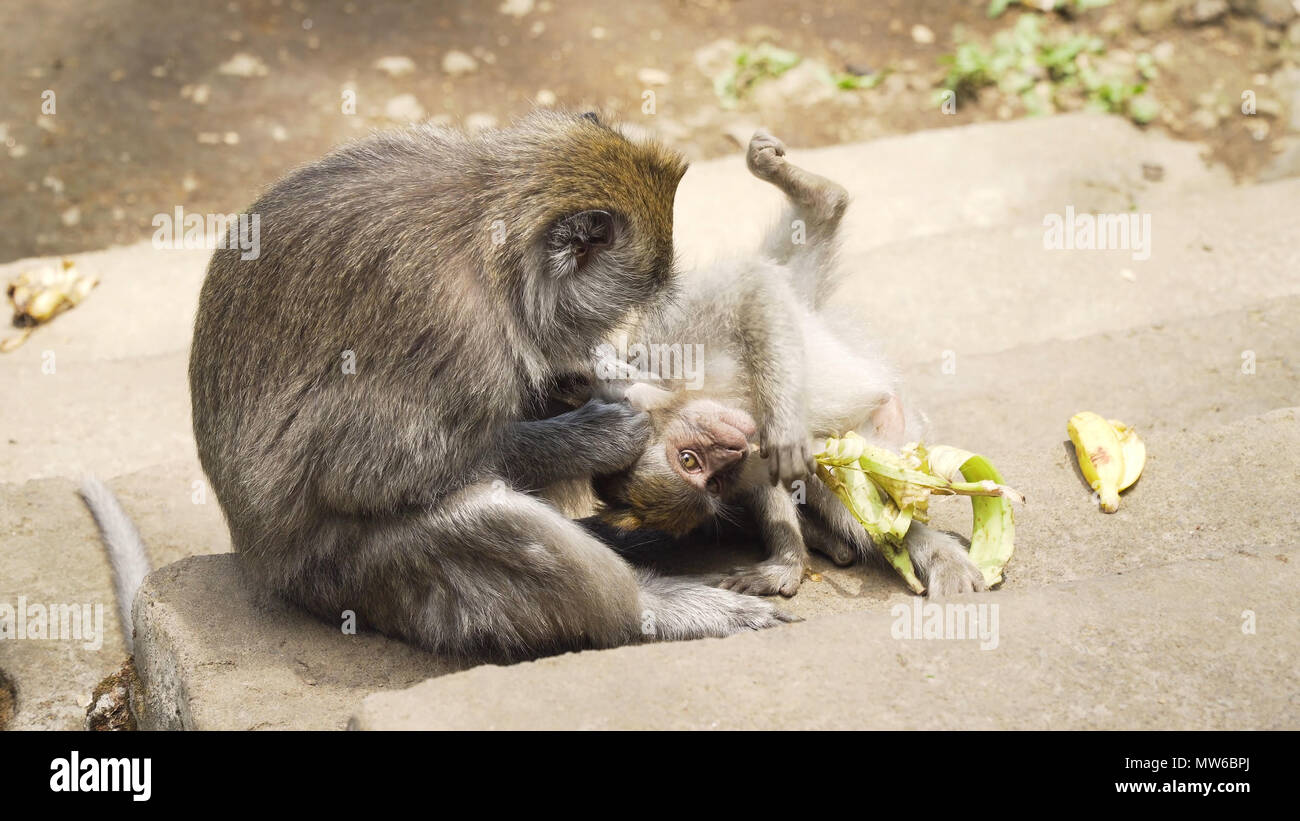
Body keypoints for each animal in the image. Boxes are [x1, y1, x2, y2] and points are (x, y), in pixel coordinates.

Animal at [184, 111, 794, 662]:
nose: (598, 344)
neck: (485, 235)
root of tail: (262, 569)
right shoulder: (452, 325)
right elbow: (363, 476)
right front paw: (598, 438)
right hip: (353, 580)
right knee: (487, 513)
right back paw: (650, 610)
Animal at [582, 130, 988, 600]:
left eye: (688, 460)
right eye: (706, 475)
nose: (730, 451)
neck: (691, 391)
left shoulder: (672, 333)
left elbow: (752, 288)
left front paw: (785, 431)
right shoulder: (743, 459)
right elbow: (770, 482)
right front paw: (787, 561)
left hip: (889, 429)